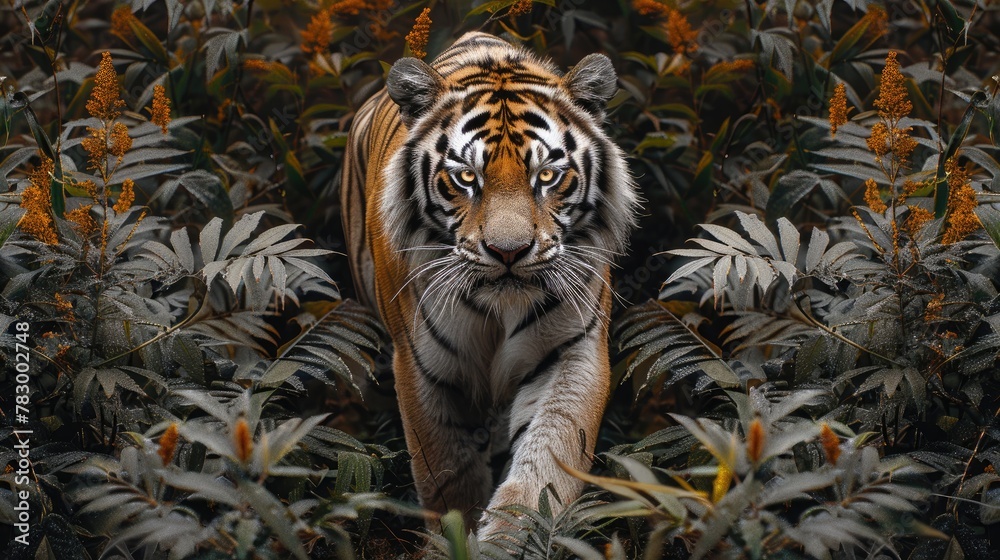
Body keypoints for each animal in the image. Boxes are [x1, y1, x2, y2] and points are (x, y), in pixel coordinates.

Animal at [340, 31, 639, 536]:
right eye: (466, 177)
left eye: (546, 175)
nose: (508, 252)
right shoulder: (422, 368)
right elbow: (448, 477)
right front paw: (455, 538)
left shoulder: (572, 350)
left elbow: (545, 465)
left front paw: (511, 537)